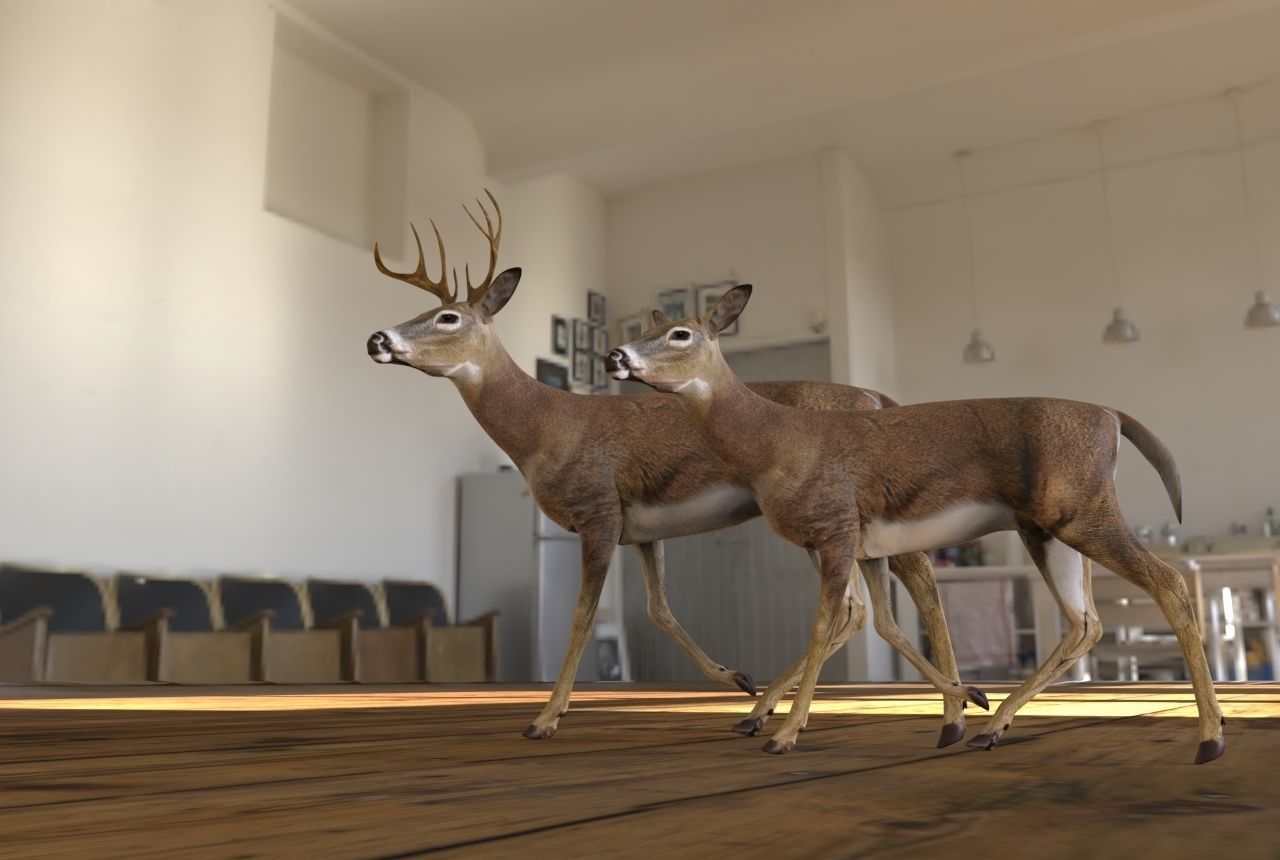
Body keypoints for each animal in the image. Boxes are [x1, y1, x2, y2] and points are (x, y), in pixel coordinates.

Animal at [364, 193, 989, 746]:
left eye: (447, 316)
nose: (376, 337)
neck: (546, 428)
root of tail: (876, 398)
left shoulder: (598, 512)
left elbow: (581, 616)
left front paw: (544, 719)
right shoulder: (640, 528)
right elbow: (658, 609)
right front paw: (737, 678)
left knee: (906, 589)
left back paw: (951, 712)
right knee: (870, 606)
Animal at [607, 284, 1226, 764]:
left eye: (680, 333)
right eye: (649, 327)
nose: (616, 355)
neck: (775, 440)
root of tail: (1112, 416)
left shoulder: (835, 534)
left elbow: (826, 626)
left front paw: (783, 734)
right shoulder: (860, 546)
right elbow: (880, 623)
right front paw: (962, 705)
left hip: (1083, 515)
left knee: (1168, 583)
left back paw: (1210, 740)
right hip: (1049, 531)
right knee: (1086, 623)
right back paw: (991, 728)